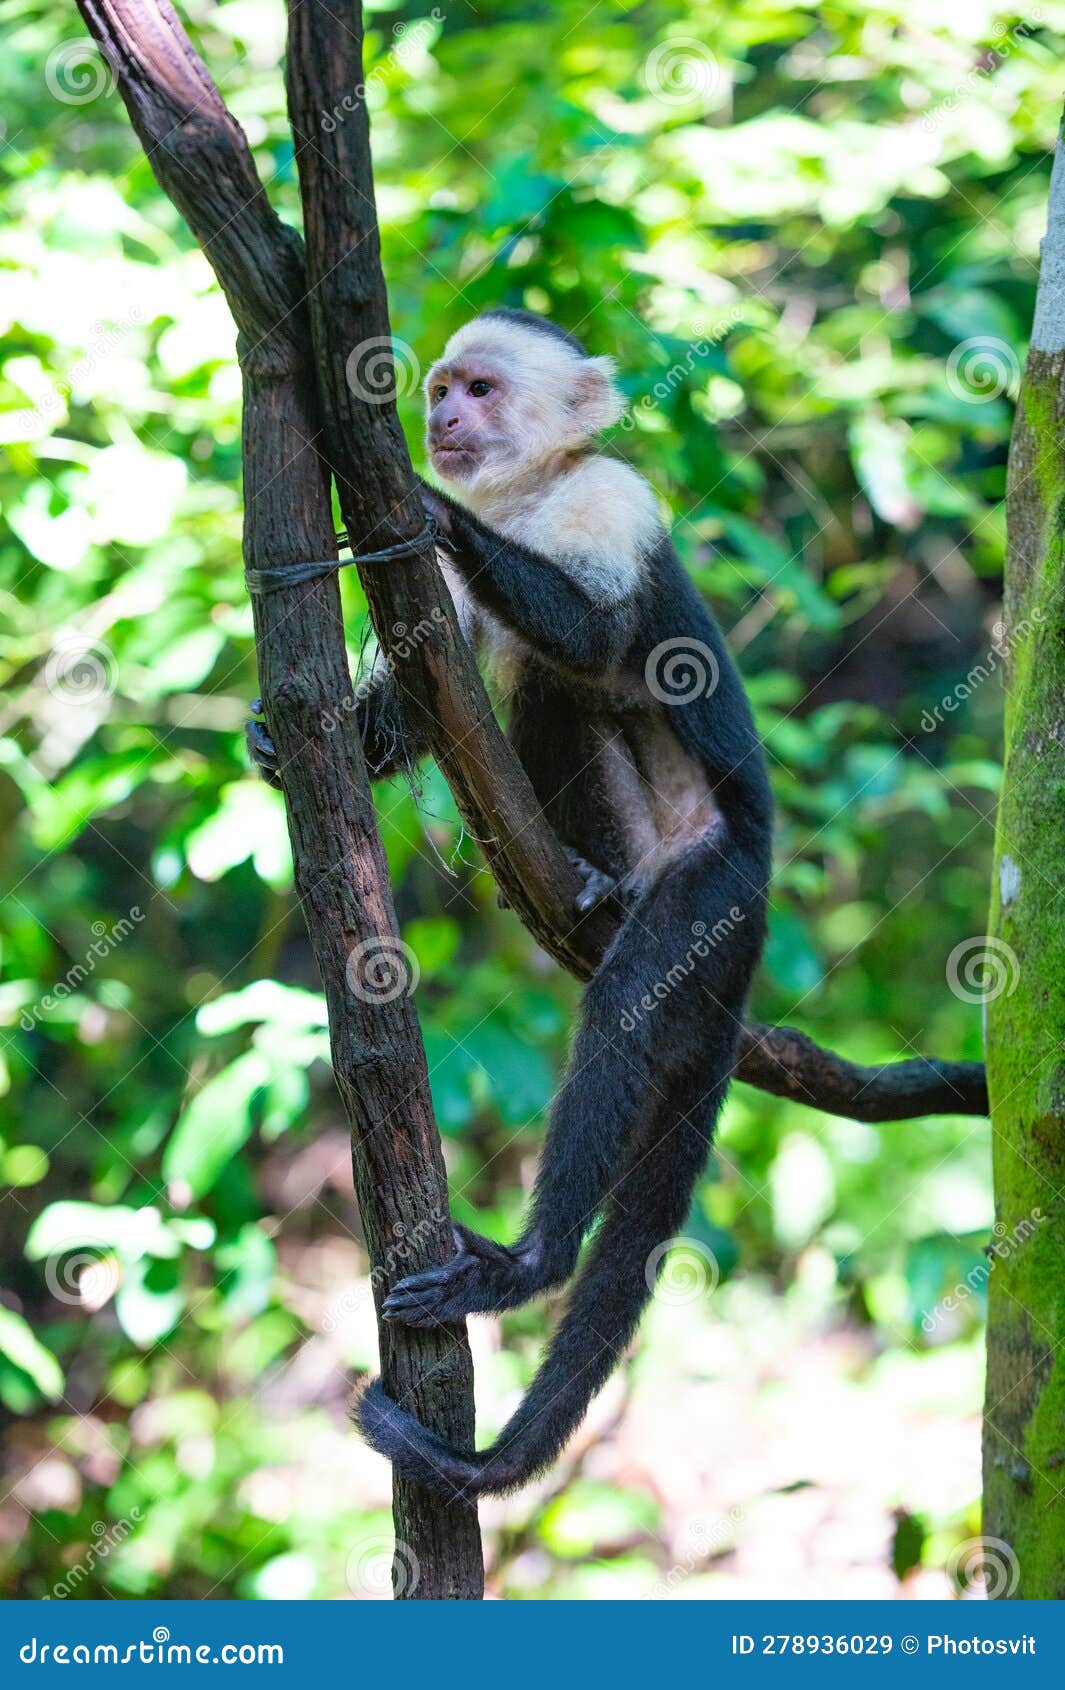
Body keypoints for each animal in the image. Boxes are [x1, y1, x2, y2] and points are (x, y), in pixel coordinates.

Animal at [248, 307, 773, 1498]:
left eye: (479, 389)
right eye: (442, 385)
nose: (439, 418)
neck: (533, 492)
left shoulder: (611, 500)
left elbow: (590, 632)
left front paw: (419, 505)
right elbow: (427, 691)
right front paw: (280, 743)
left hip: (715, 881)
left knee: (628, 999)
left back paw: (533, 1263)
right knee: (544, 691)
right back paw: (585, 883)